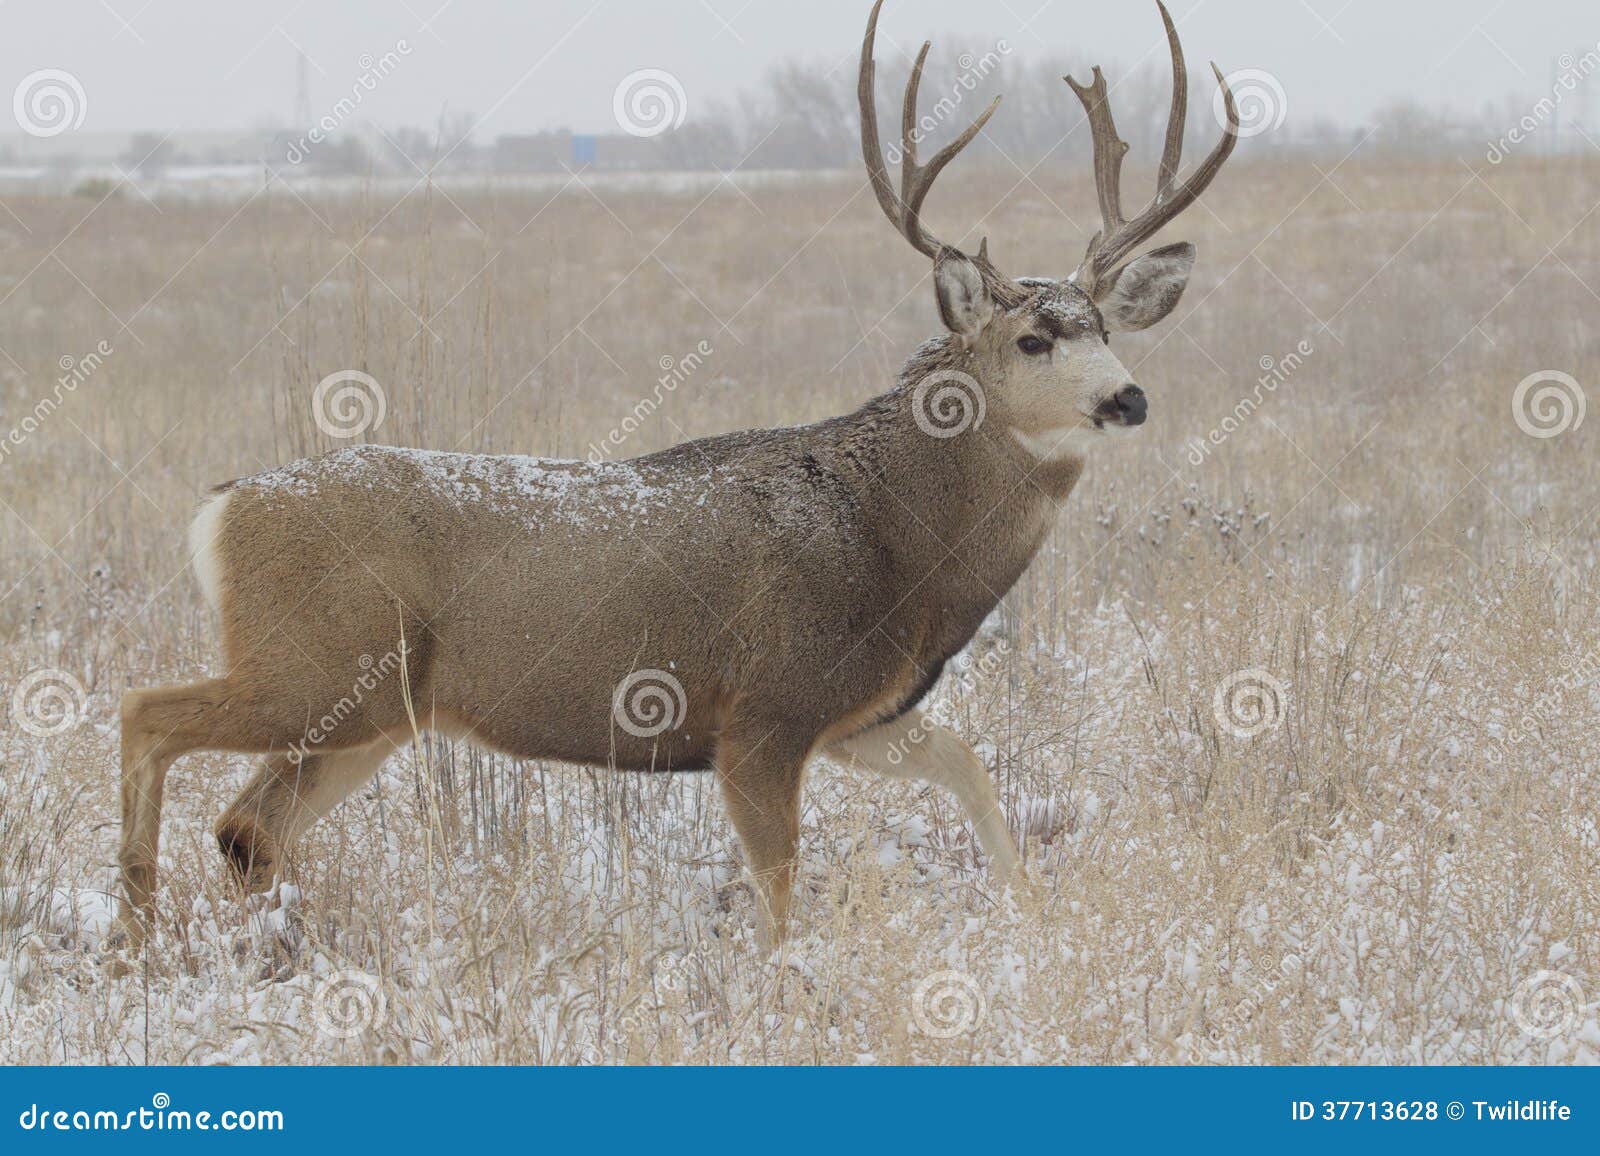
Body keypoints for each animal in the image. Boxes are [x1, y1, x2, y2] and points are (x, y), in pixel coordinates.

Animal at [110, 0, 1238, 958]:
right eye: (1036, 338)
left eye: (1109, 330)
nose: (1128, 398)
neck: (894, 538)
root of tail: (223, 507)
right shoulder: (761, 712)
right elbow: (780, 891)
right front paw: (789, 992)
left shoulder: (860, 714)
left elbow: (967, 767)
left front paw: (1031, 914)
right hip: (312, 663)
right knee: (147, 713)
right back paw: (133, 919)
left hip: (374, 707)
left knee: (248, 828)